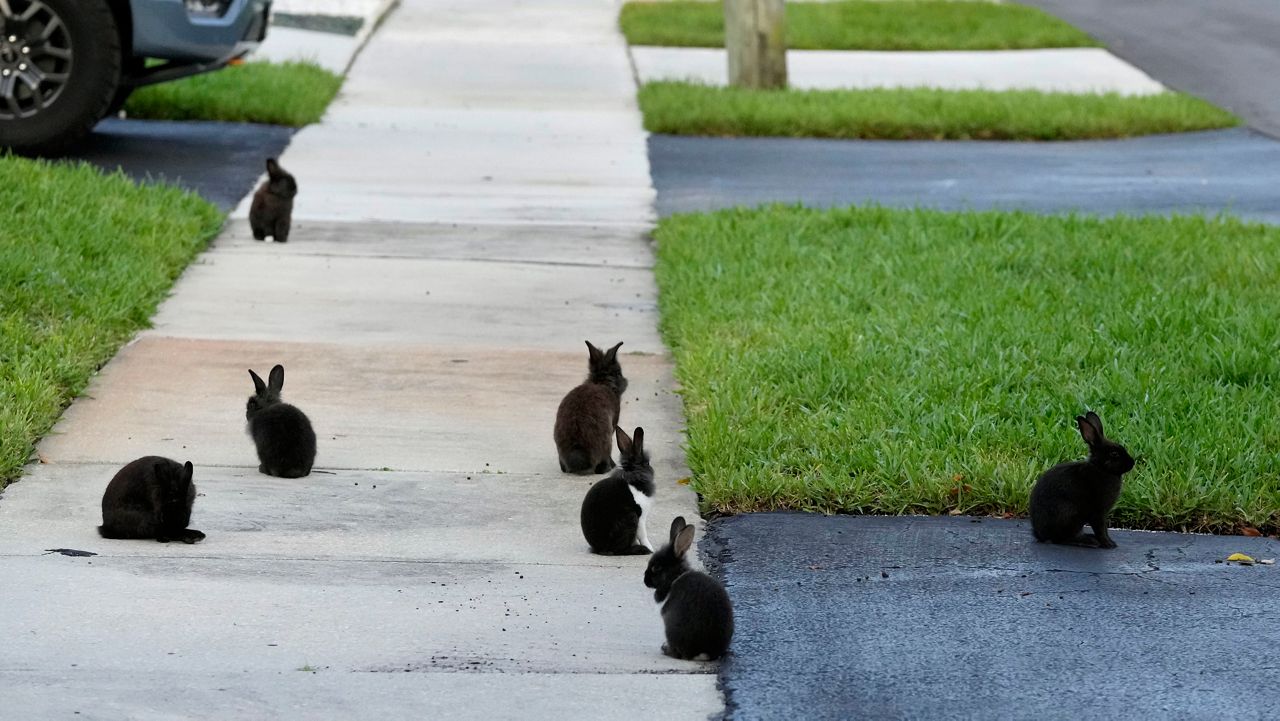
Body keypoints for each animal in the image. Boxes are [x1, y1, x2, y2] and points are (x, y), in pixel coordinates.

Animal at [580, 426, 655, 555]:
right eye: (647, 463)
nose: (652, 470)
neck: (634, 476)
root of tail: (600, 548)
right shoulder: (641, 518)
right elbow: (643, 535)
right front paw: (651, 549)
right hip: (630, 517)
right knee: (619, 550)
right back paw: (641, 550)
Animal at [644, 516, 734, 661]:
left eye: (656, 567)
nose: (645, 581)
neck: (675, 577)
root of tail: (703, 652)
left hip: (671, 627)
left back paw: (665, 648)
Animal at [1029, 411, 1135, 549]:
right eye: (1114, 454)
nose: (1132, 463)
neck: (1101, 468)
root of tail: (1040, 534)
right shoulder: (1098, 512)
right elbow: (1101, 529)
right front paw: (1109, 544)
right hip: (1069, 514)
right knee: (1063, 538)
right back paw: (1089, 541)